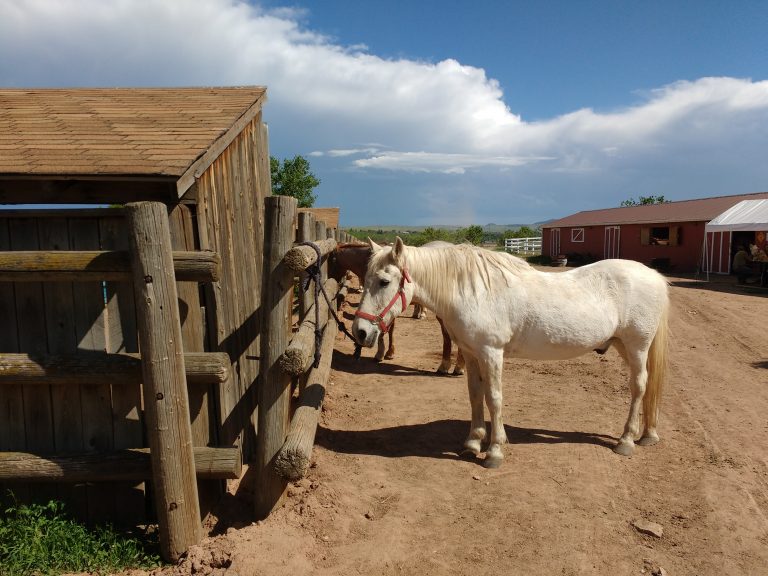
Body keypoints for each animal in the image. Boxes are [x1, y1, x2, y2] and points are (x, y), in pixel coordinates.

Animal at [352, 237, 669, 469]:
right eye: (365, 279)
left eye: (384, 281)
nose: (360, 332)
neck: (471, 291)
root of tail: (653, 275)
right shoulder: (471, 354)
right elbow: (475, 396)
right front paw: (473, 443)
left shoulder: (492, 353)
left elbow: (494, 399)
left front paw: (493, 451)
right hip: (622, 345)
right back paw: (647, 434)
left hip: (637, 346)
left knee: (639, 387)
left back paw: (626, 440)